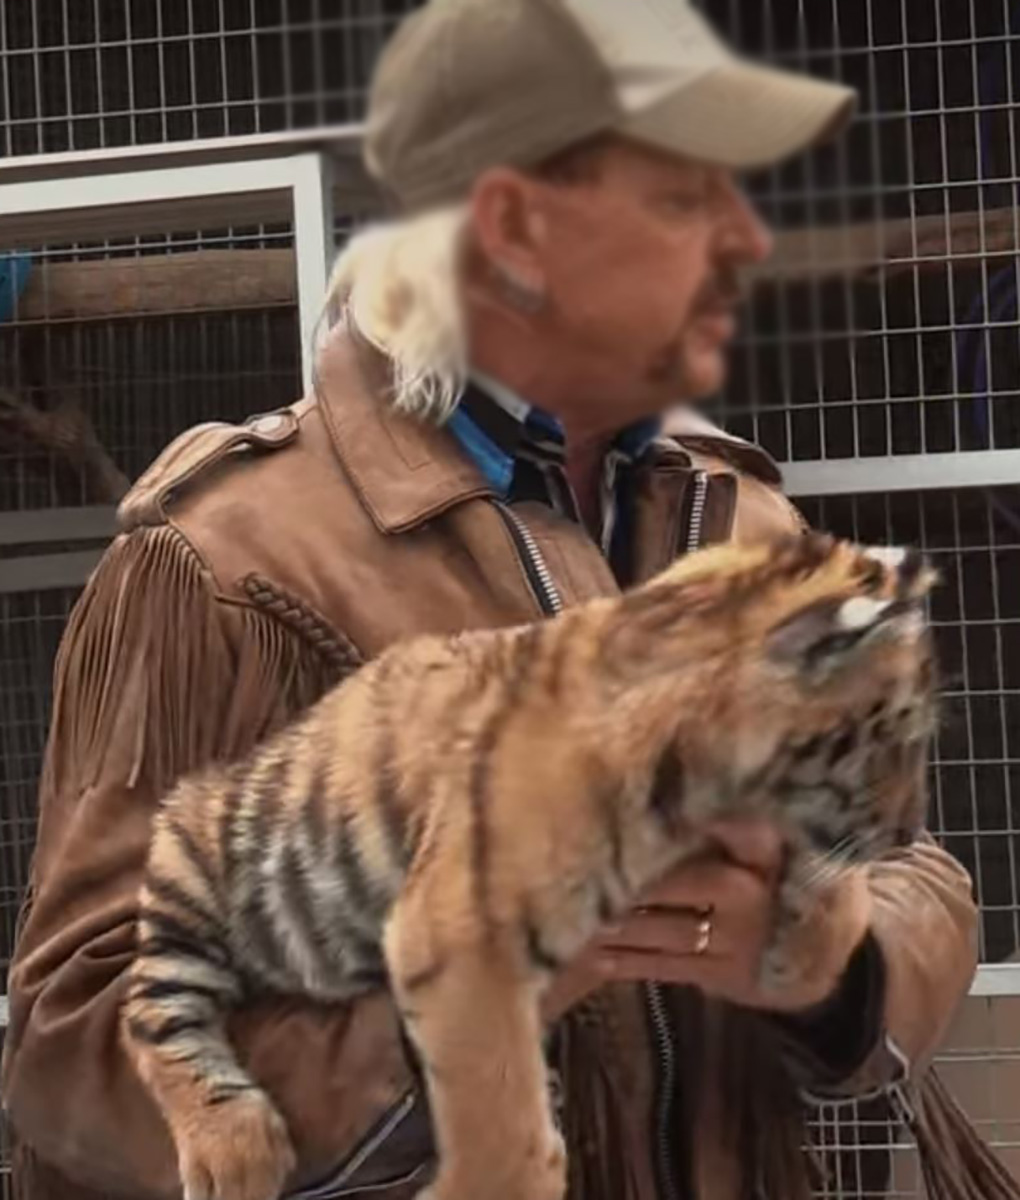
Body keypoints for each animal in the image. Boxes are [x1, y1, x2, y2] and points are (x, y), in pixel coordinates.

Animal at [122, 532, 937, 1200]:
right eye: (896, 737)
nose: (907, 829)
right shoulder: (458, 932)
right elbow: (493, 1101)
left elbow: (840, 890)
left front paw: (794, 964)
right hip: (192, 870)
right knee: (151, 1013)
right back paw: (235, 1153)